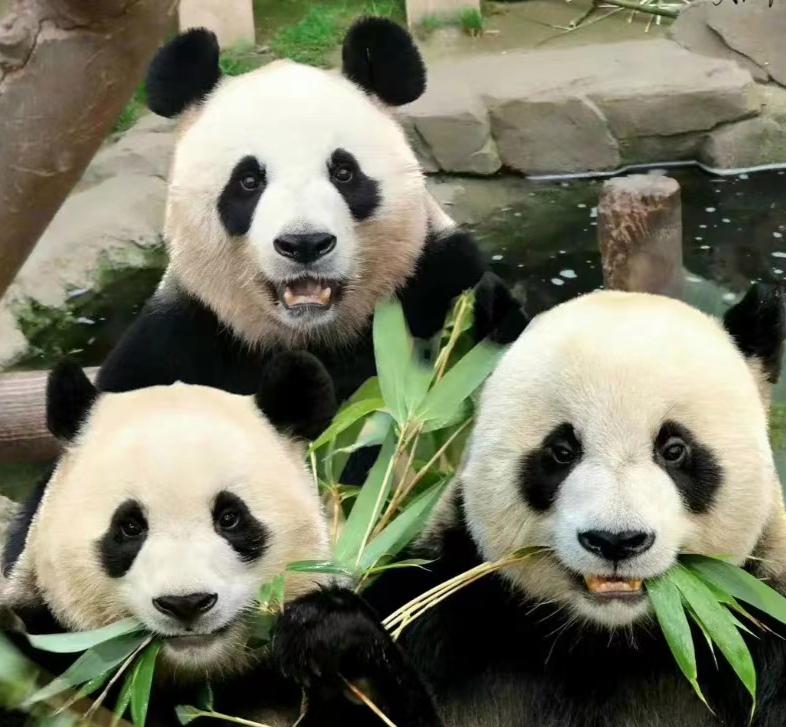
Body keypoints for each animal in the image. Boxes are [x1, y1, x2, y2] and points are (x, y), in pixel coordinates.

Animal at [97, 17, 526, 403]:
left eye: (344, 172)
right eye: (248, 181)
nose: (304, 244)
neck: (312, 334)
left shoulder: (435, 274)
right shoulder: (180, 336)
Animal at [360, 283, 786, 726]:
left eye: (674, 450)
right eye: (562, 451)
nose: (616, 541)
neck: (603, 639)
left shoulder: (759, 625)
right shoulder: (444, 605)